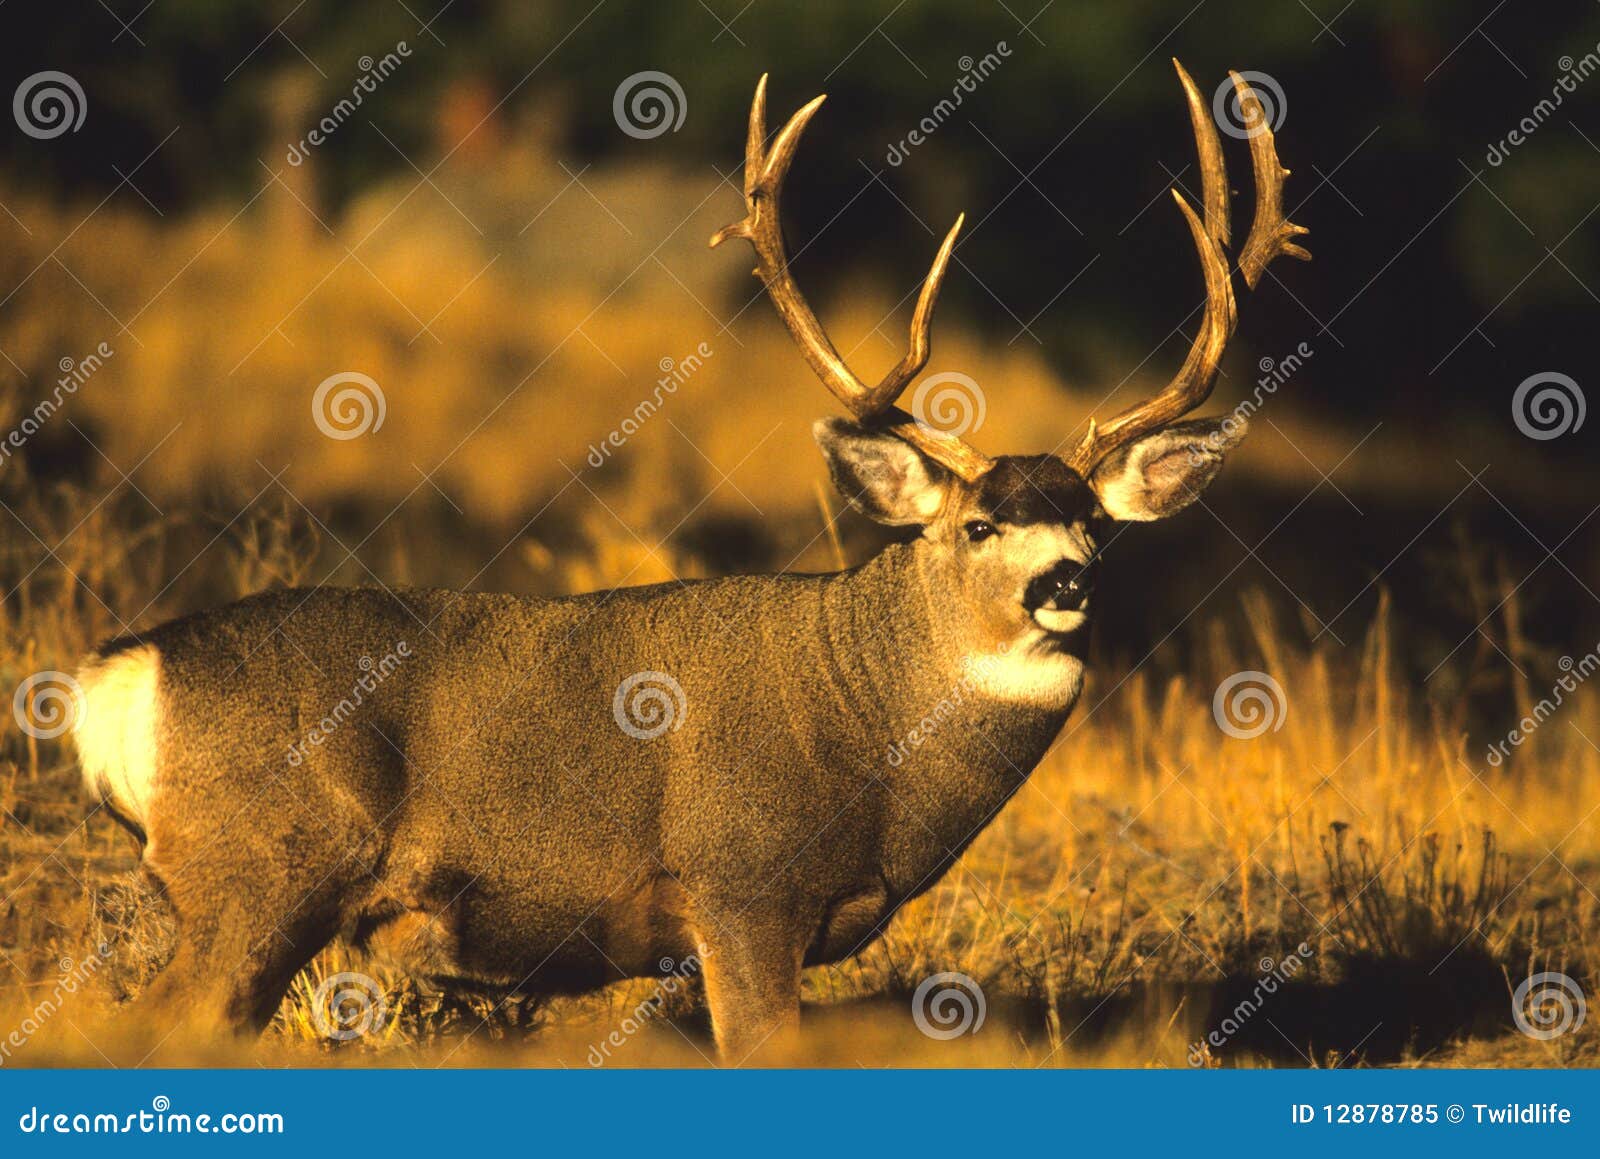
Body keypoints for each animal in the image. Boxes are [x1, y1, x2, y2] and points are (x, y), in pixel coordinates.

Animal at [72, 61, 1307, 1062]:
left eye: (1097, 522)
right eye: (976, 526)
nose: (1064, 582)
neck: (873, 734)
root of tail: (116, 674)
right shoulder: (742, 887)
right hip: (258, 874)